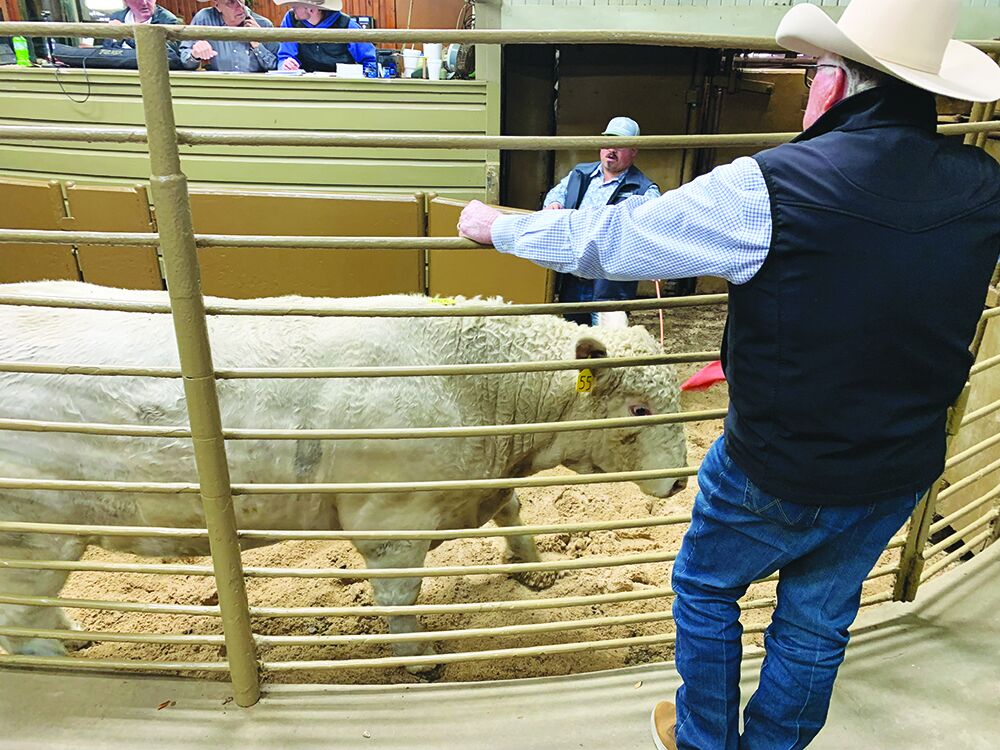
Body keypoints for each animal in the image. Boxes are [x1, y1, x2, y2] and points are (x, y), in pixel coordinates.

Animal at [0, 281, 688, 669]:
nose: (682, 480)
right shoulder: (390, 516)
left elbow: (512, 510)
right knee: (20, 620)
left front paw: (531, 566)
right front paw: (418, 658)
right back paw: (58, 654)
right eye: (639, 409)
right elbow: (400, 596)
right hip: (34, 534)